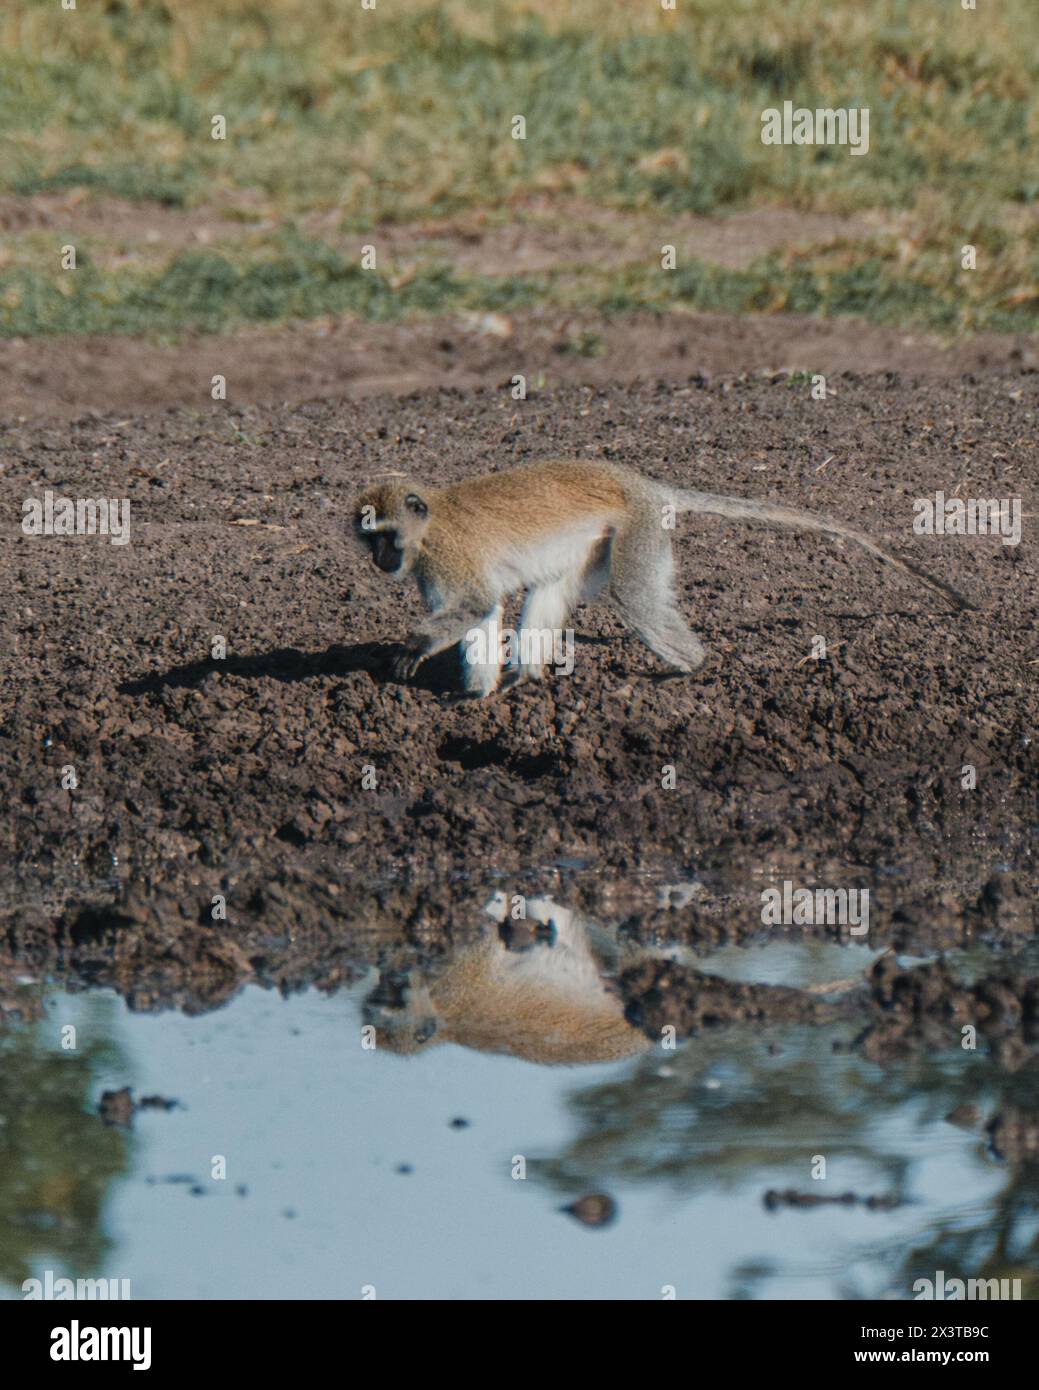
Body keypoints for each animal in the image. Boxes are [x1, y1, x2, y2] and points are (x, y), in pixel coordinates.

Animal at [352, 460, 973, 698]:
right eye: (369, 537)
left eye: (387, 536)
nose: (381, 561)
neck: (430, 524)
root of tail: (640, 483)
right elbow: (481, 615)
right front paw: (475, 696)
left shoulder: (448, 558)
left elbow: (476, 602)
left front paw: (414, 648)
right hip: (598, 543)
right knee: (549, 589)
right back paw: (526, 677)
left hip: (640, 528)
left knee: (633, 594)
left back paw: (689, 668)